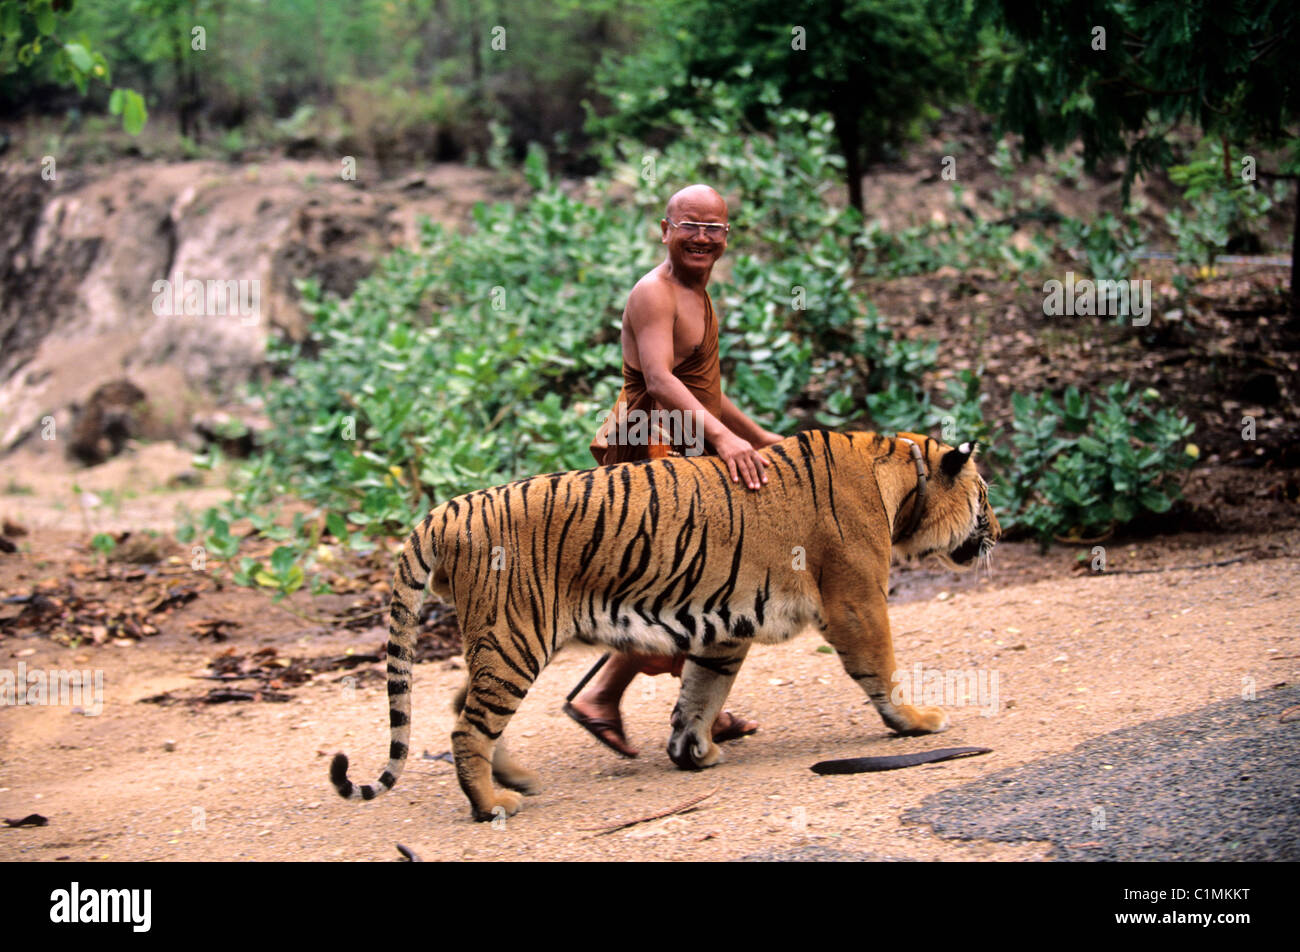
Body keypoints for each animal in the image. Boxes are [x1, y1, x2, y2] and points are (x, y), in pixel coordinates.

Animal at [329, 428, 1000, 822]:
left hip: (503, 639)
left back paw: (517, 777)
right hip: (515, 637)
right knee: (468, 726)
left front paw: (693, 752)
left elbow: (701, 692)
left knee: (461, 703)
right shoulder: (857, 602)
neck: (902, 477)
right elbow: (881, 666)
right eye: (985, 496)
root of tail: (445, 511)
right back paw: (493, 803)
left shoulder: (726, 626)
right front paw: (915, 722)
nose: (1000, 530)